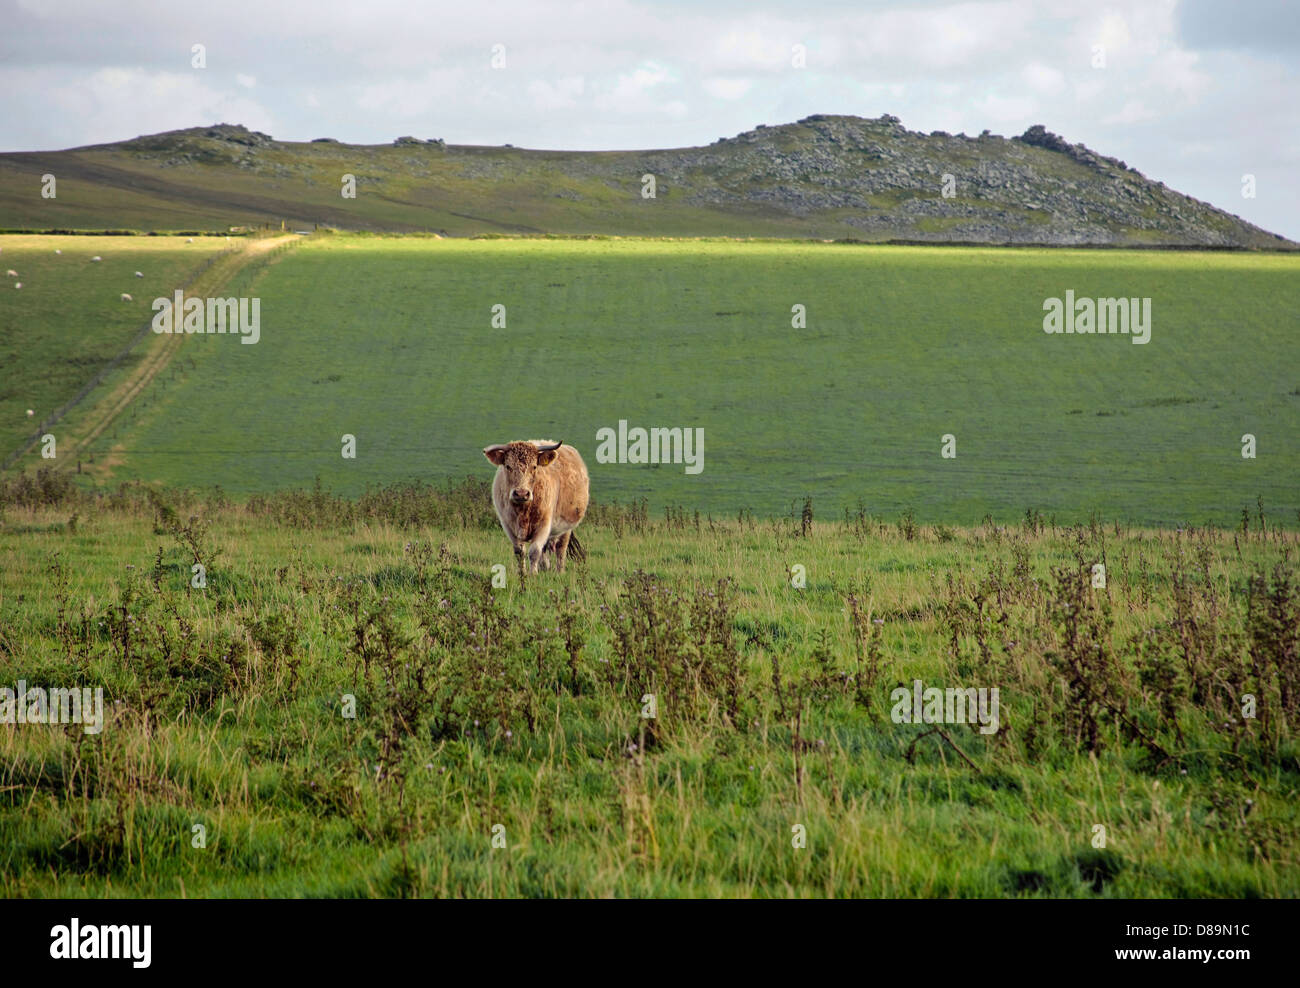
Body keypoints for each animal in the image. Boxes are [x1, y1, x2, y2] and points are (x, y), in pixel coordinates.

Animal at [482, 439, 589, 574]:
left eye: (534, 466)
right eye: (508, 466)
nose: (521, 493)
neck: (523, 511)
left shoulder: (544, 524)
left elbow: (534, 551)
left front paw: (533, 574)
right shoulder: (508, 525)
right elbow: (519, 552)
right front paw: (522, 573)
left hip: (566, 527)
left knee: (561, 549)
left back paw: (559, 571)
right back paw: (544, 567)